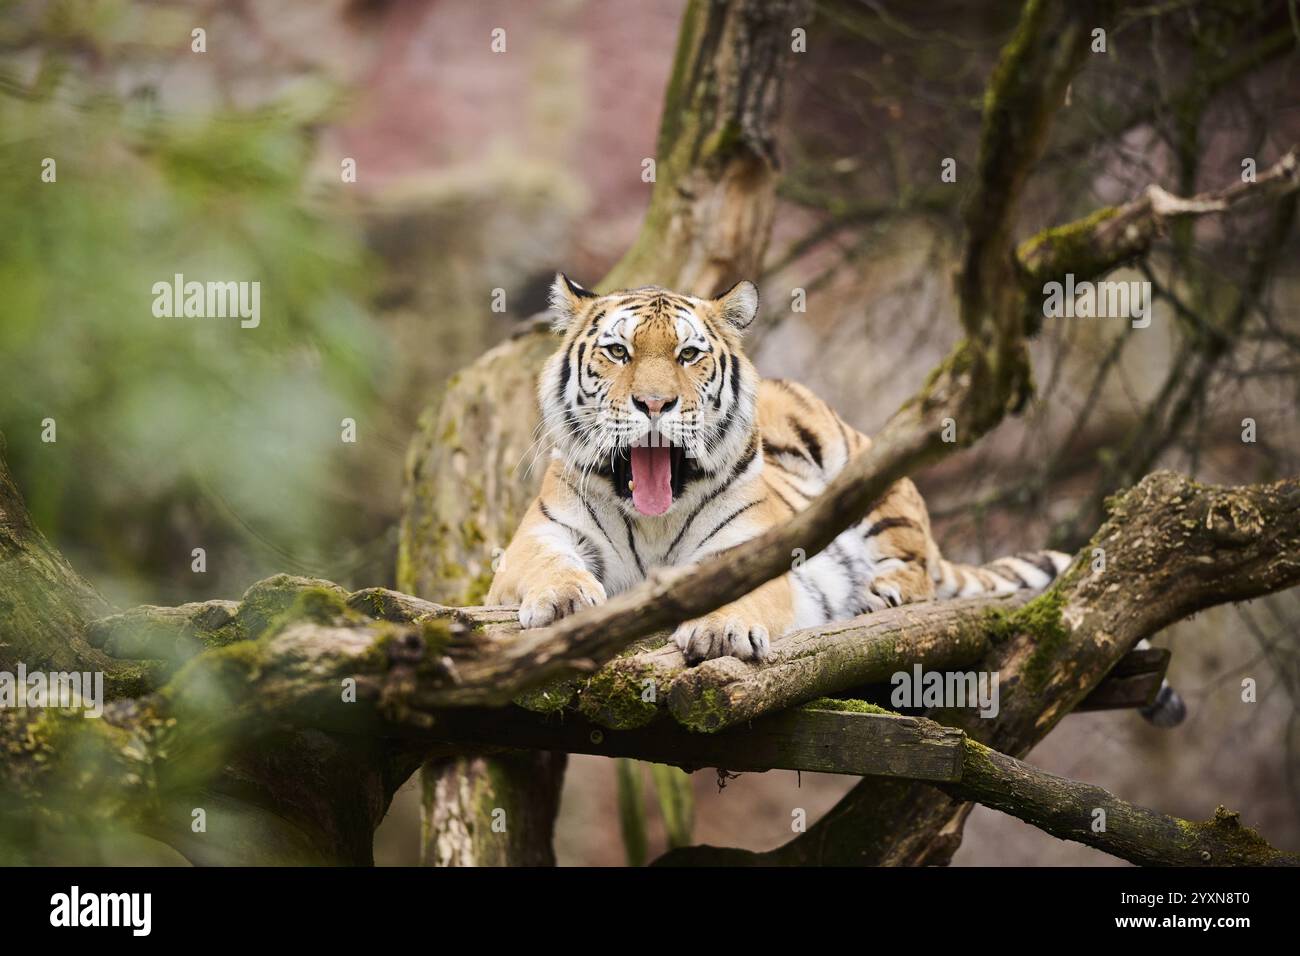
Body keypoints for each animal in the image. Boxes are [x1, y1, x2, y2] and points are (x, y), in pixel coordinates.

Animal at [485, 274, 1183, 724]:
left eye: (688, 354)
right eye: (618, 351)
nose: (654, 405)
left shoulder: (747, 553)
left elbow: (737, 598)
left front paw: (718, 632)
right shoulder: (537, 538)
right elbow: (546, 566)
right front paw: (566, 601)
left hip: (871, 469)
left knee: (915, 568)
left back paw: (884, 594)